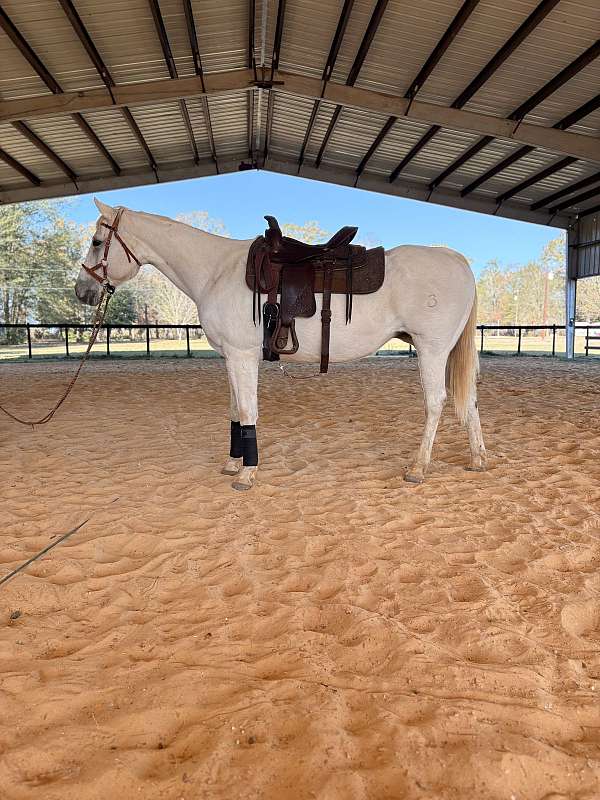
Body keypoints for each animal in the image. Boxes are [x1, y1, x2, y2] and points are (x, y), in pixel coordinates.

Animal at [75, 199, 486, 490]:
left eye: (96, 242)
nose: (82, 292)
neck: (216, 271)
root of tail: (455, 259)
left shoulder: (242, 355)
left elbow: (248, 410)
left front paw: (247, 473)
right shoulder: (231, 358)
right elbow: (236, 410)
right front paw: (233, 463)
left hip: (432, 350)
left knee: (437, 402)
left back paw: (418, 467)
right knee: (470, 399)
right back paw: (478, 459)